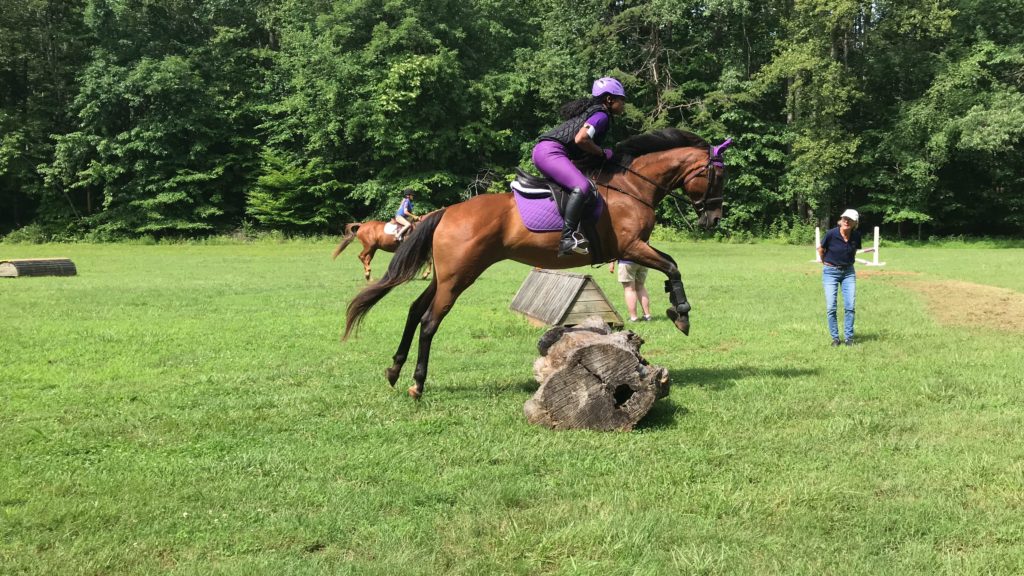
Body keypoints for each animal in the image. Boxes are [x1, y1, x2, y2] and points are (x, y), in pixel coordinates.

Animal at [344, 128, 730, 399]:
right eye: (719, 177)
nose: (713, 219)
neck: (632, 188)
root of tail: (447, 211)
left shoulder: (636, 247)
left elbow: (670, 264)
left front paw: (676, 311)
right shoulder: (632, 246)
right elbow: (673, 266)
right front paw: (681, 314)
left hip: (445, 275)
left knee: (413, 310)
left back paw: (394, 371)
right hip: (459, 276)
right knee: (428, 322)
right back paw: (417, 384)